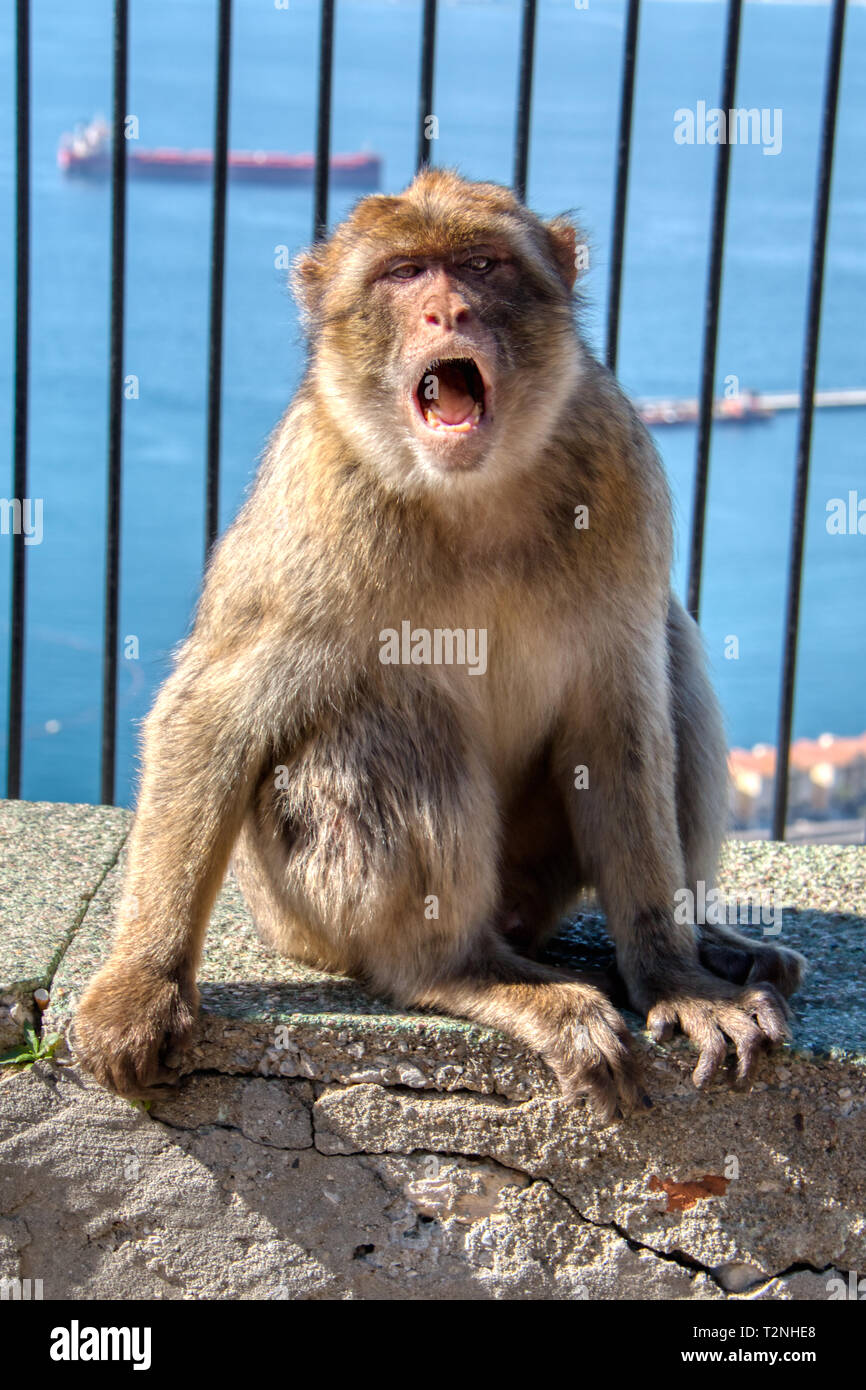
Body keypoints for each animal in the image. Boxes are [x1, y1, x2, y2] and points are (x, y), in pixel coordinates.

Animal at [73, 168, 806, 1121]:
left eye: (482, 265)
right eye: (403, 272)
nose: (445, 311)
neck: (475, 490)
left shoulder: (624, 473)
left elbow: (624, 719)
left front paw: (676, 975)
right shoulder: (311, 506)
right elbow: (215, 711)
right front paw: (144, 983)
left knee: (670, 656)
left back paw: (710, 940)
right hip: (303, 916)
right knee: (389, 715)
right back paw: (460, 972)